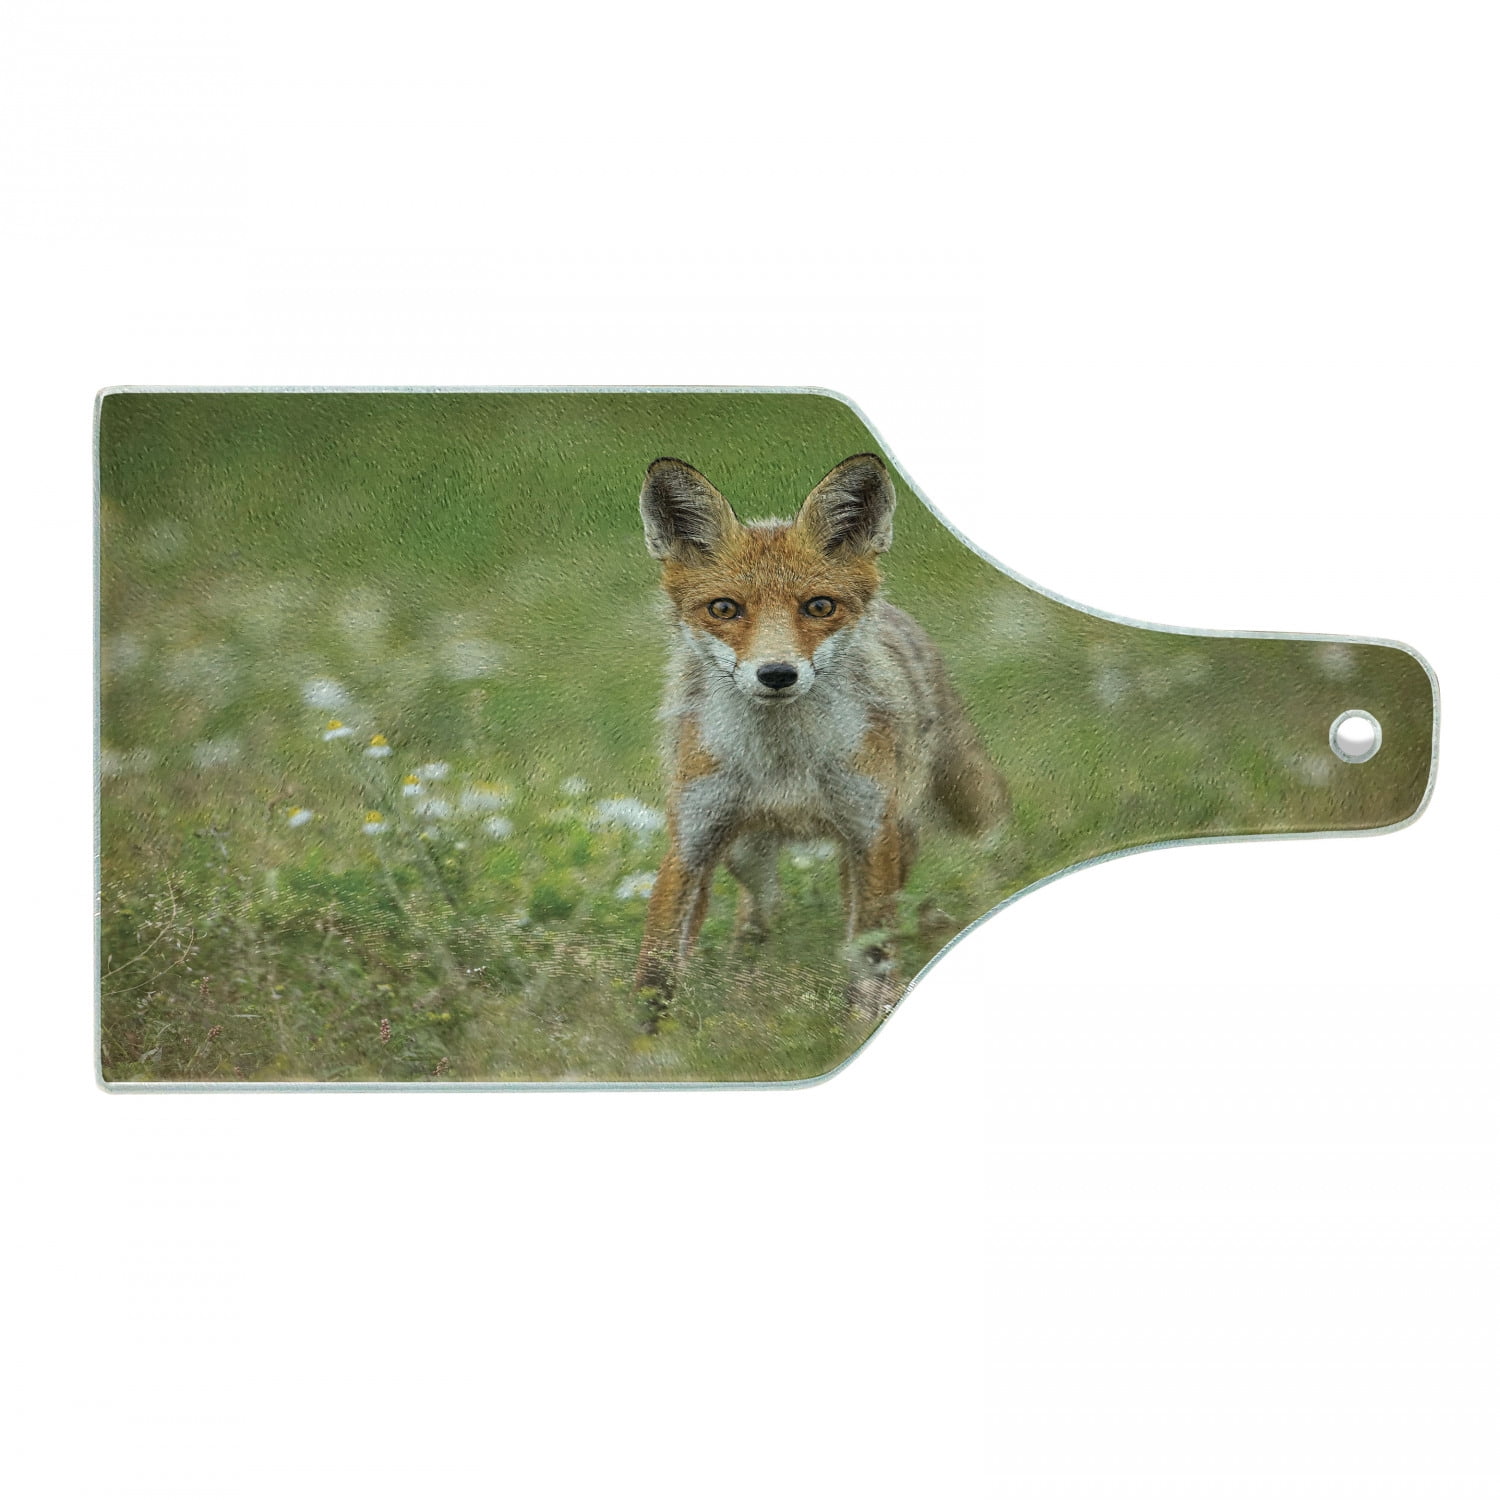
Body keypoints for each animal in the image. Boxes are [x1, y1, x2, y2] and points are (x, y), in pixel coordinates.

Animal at [632, 452, 1009, 1022]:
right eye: (724, 609)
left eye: (818, 607)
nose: (776, 674)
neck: (784, 765)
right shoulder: (693, 838)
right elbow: (655, 969)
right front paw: (639, 1036)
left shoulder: (870, 833)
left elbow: (871, 952)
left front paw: (863, 1024)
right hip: (748, 858)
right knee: (757, 919)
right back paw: (743, 984)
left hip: (911, 826)